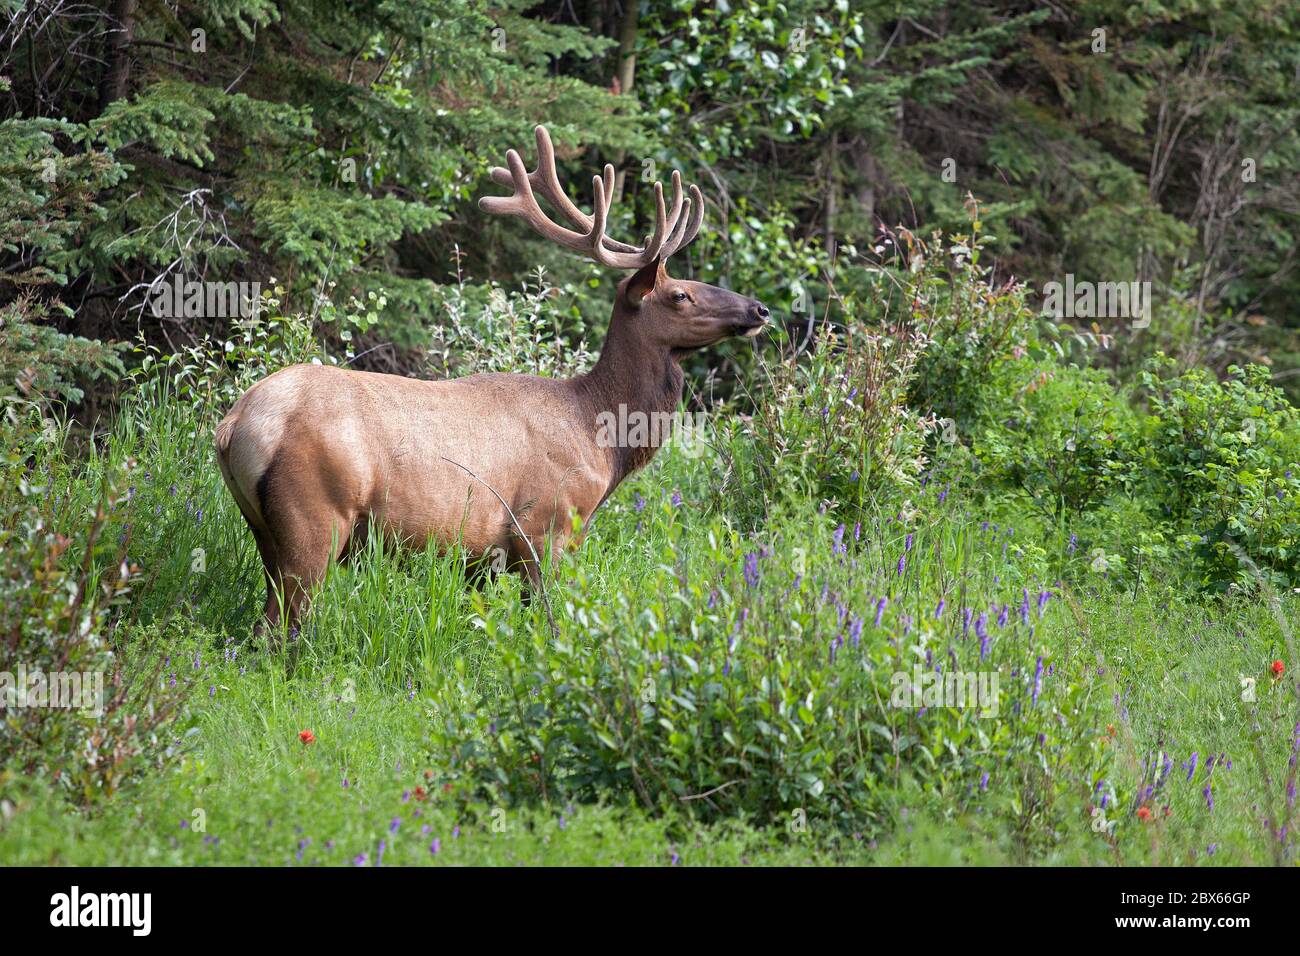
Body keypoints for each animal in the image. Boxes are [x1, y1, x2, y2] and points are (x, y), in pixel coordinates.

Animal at [214, 125, 770, 635]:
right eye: (679, 295)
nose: (760, 309)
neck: (601, 437)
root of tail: (235, 425)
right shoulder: (544, 526)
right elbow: (547, 622)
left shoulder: (483, 556)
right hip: (316, 515)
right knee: (280, 627)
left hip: (262, 528)